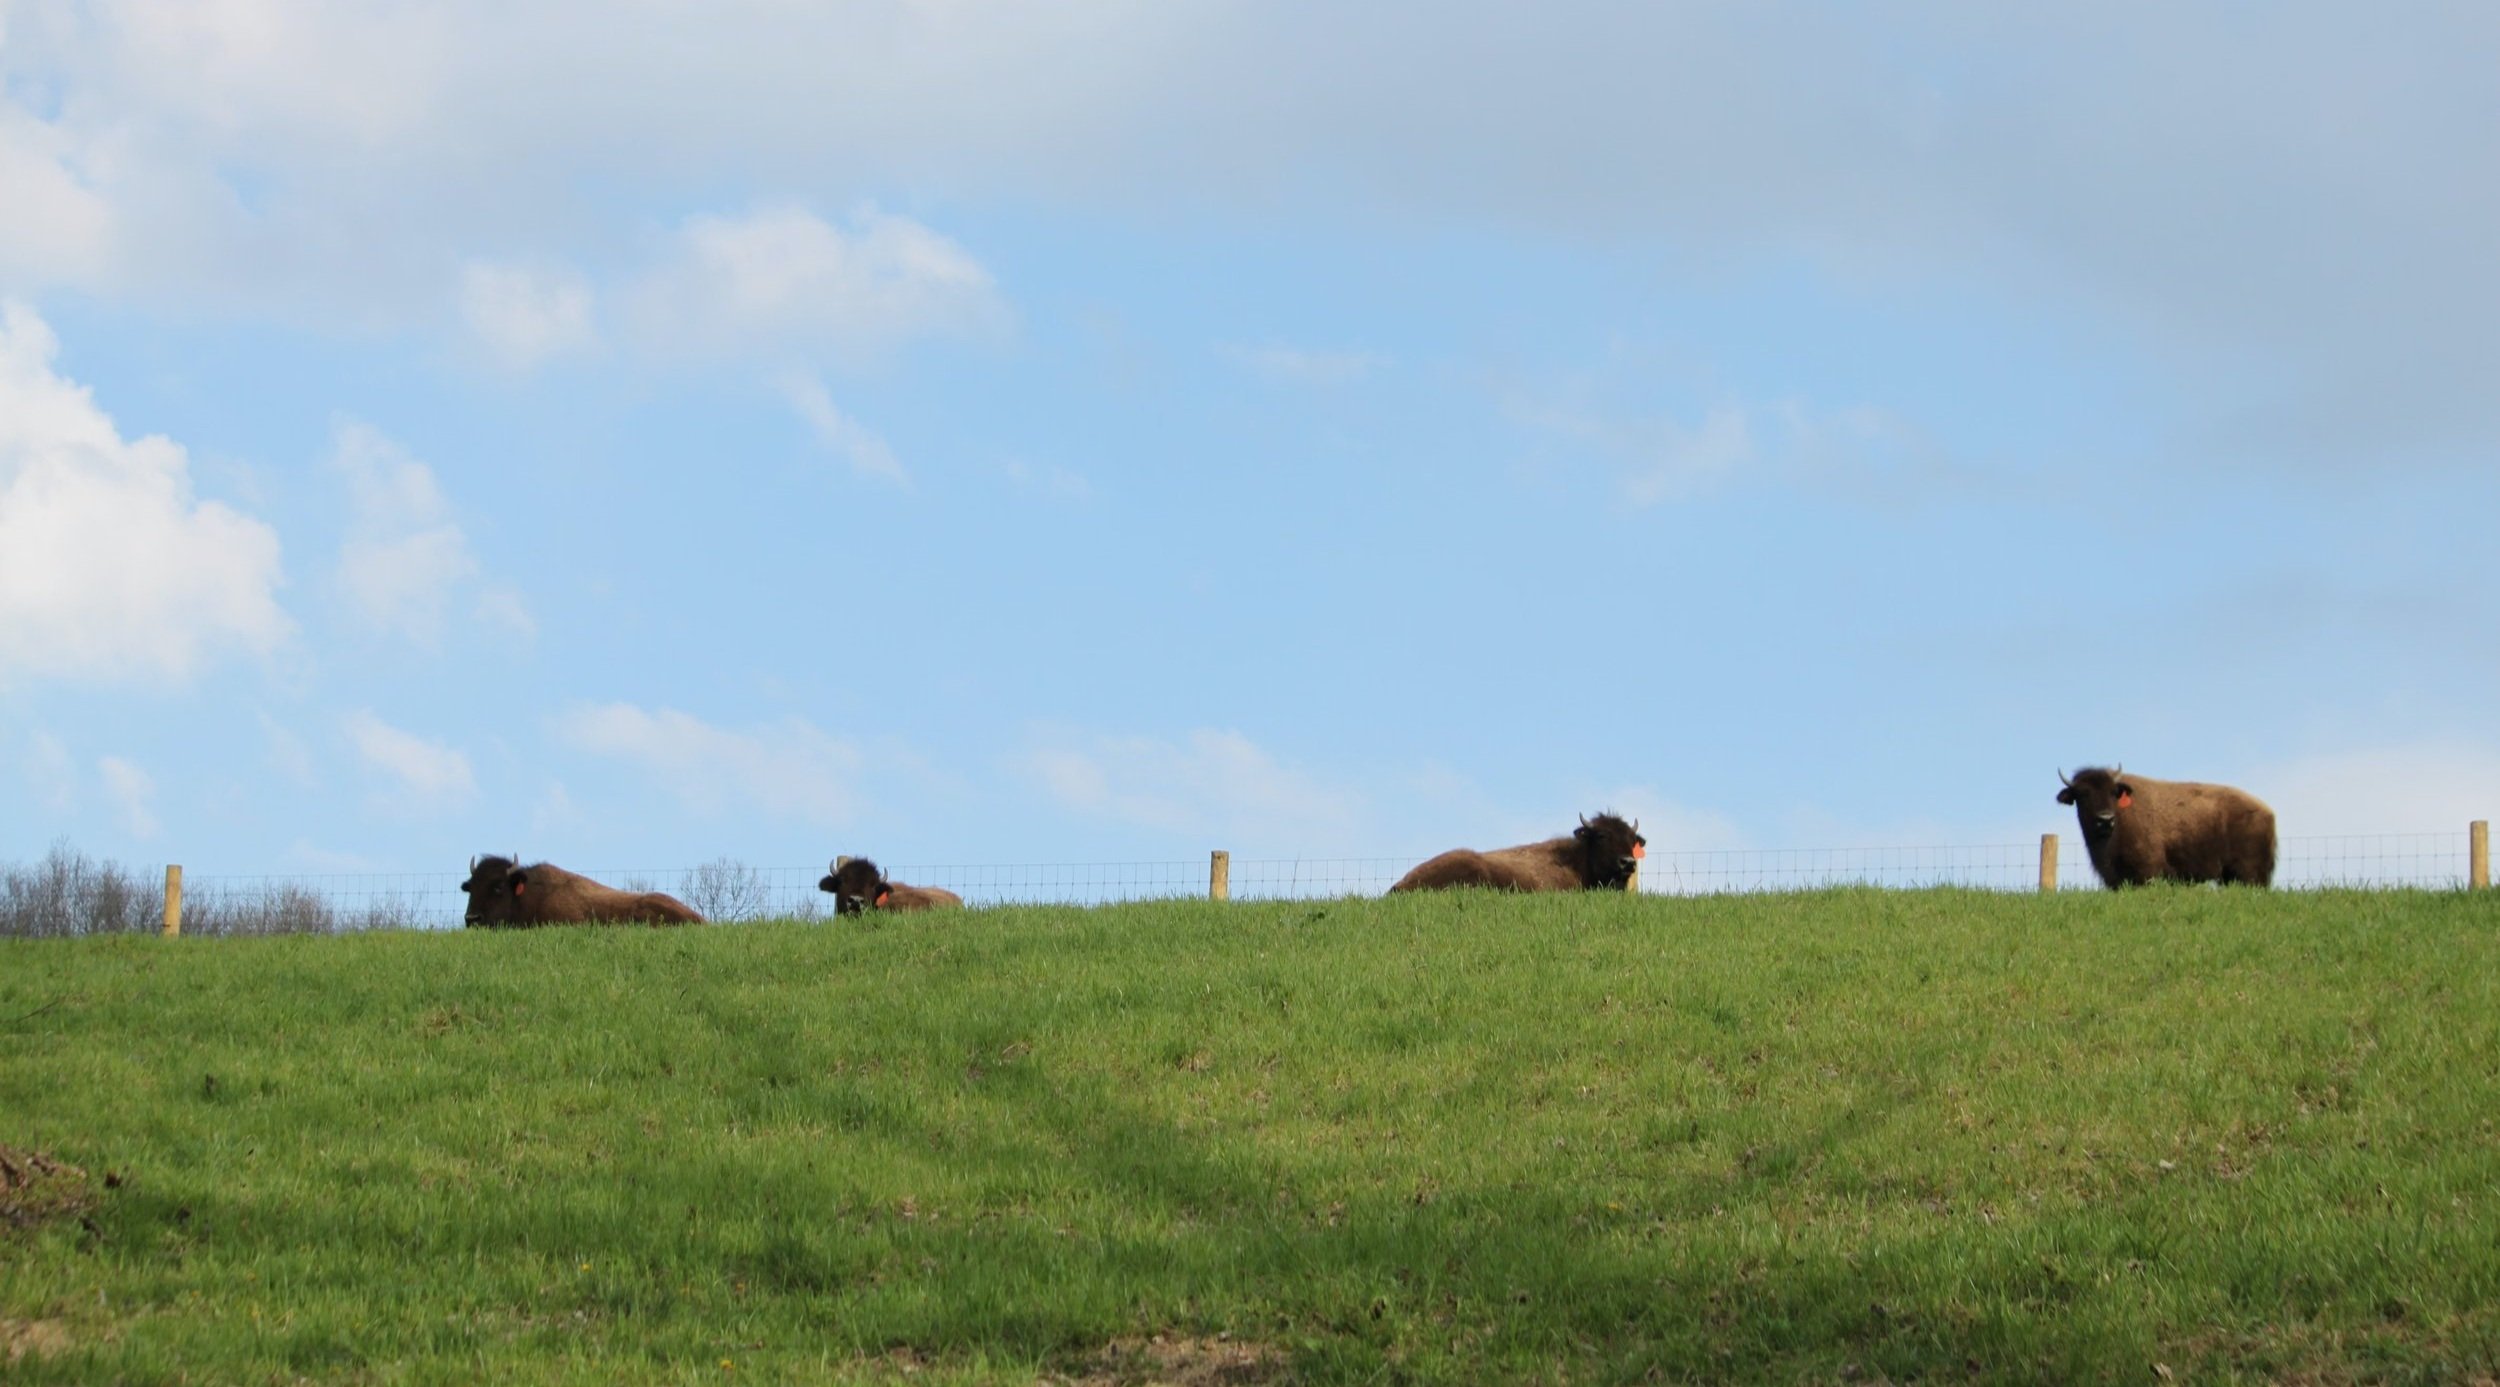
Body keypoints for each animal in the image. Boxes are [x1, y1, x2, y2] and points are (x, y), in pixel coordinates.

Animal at [2054, 767, 2276, 888]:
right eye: (2083, 794)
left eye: (2113, 792)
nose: (2105, 819)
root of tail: (2267, 811)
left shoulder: (2147, 873)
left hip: (2249, 874)